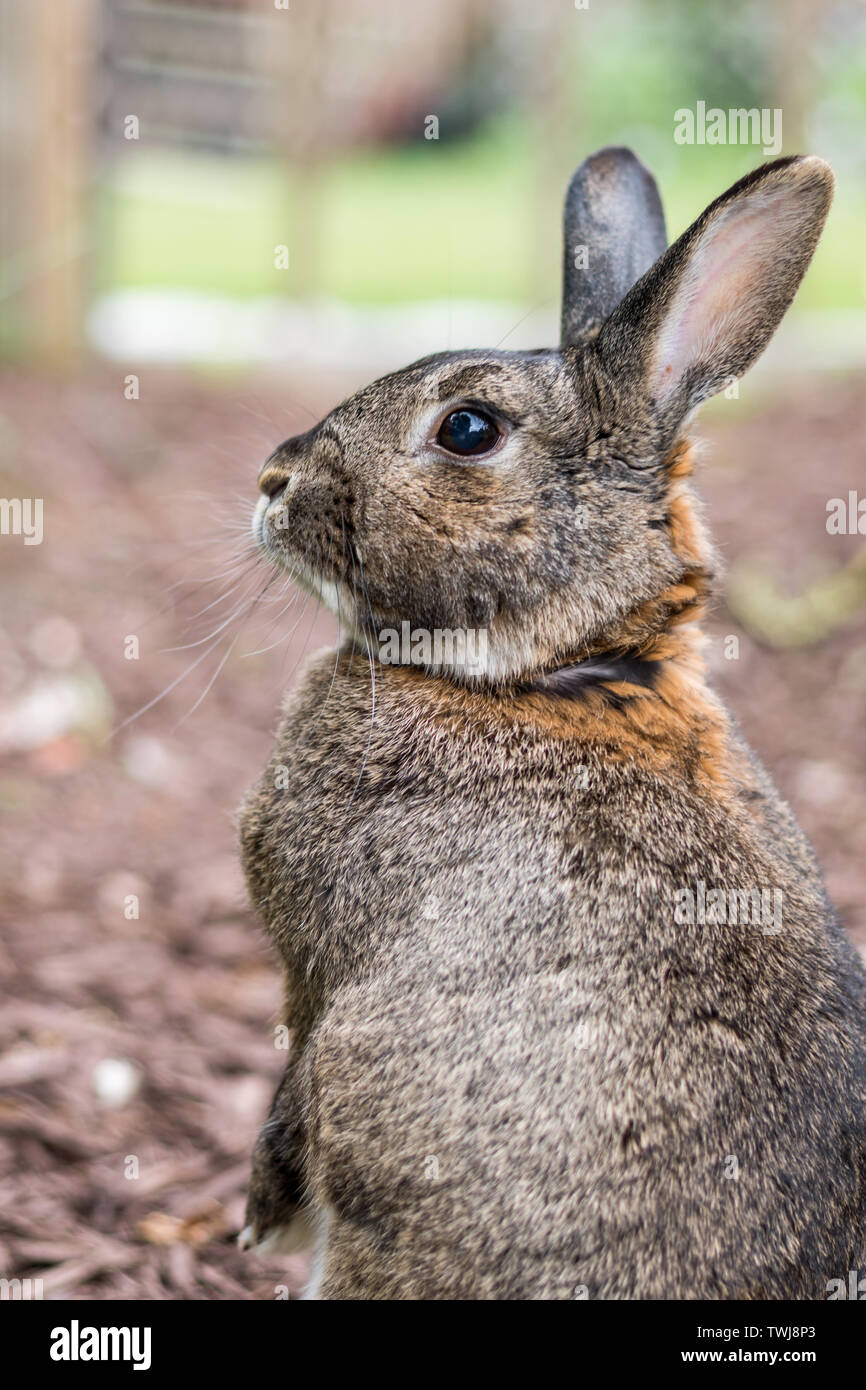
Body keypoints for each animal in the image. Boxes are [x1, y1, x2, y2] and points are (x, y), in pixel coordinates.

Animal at [238, 148, 866, 1300]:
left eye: (468, 429)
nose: (274, 480)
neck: (557, 674)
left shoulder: (316, 969)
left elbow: (298, 1070)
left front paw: (261, 1219)